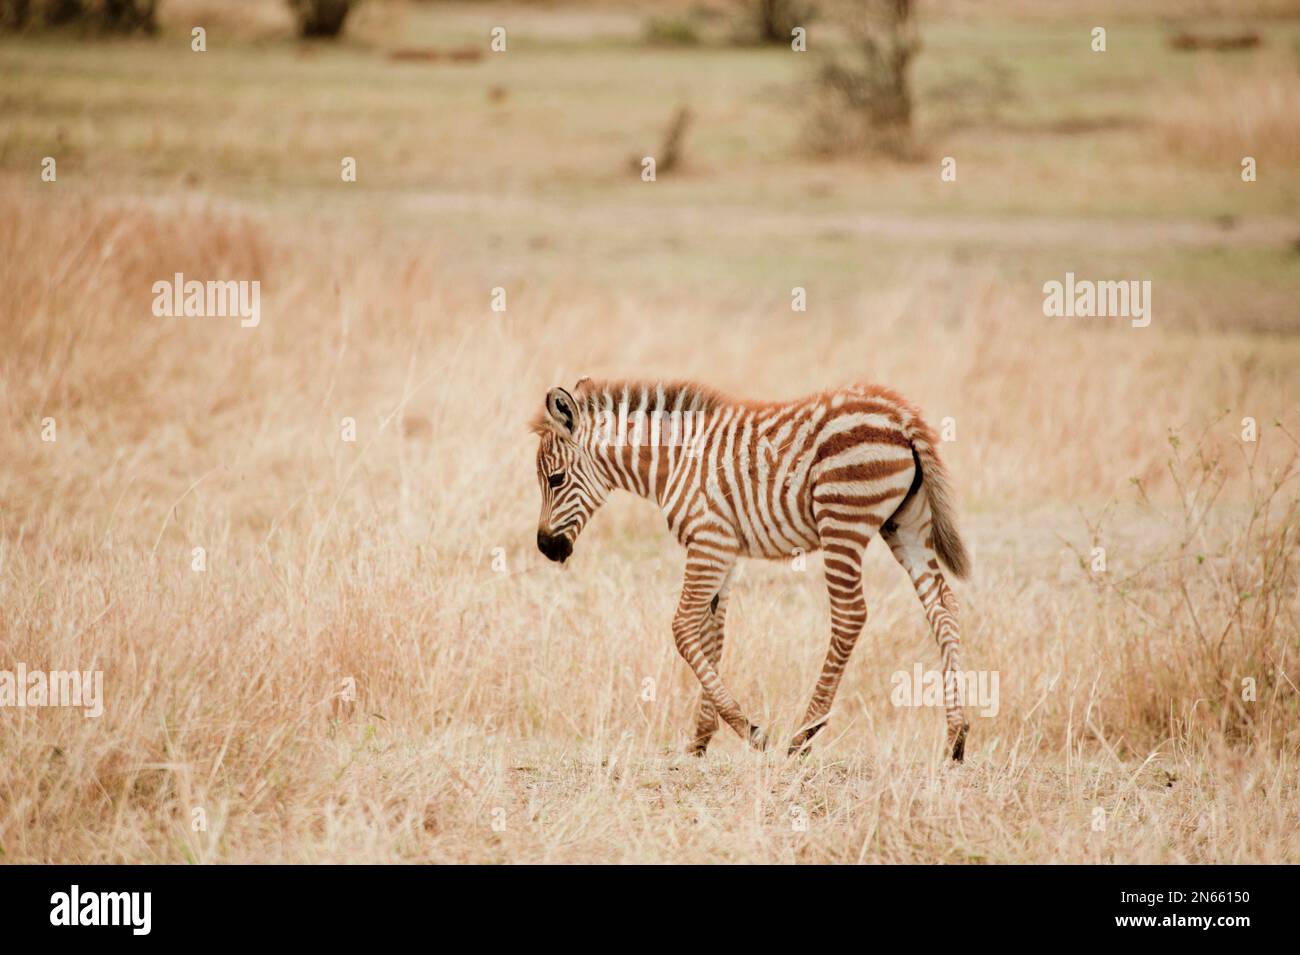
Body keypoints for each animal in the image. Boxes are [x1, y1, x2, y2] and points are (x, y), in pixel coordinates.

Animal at [531, 378, 972, 760]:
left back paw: (804, 734)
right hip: (906, 525)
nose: (546, 548)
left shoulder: (708, 541)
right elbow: (712, 635)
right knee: (942, 607)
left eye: (555, 479)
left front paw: (749, 730)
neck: (673, 461)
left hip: (842, 520)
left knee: (850, 616)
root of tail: (901, 414)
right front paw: (701, 739)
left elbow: (683, 628)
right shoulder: (723, 551)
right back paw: (956, 736)